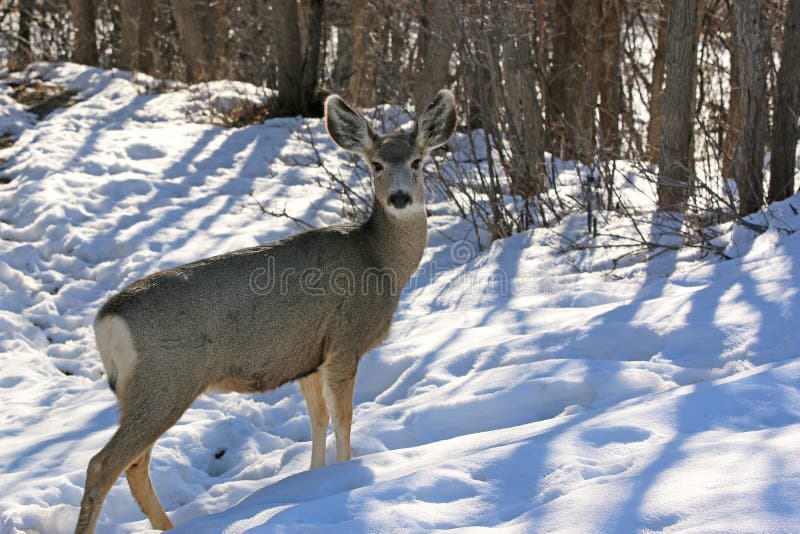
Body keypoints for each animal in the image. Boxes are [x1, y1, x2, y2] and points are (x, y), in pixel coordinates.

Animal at [74, 89, 457, 533]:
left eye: (417, 161)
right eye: (376, 164)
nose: (399, 198)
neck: (380, 262)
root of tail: (106, 319)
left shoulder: (308, 357)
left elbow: (318, 420)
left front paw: (315, 480)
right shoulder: (345, 341)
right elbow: (343, 420)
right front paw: (344, 479)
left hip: (144, 391)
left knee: (135, 464)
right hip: (166, 380)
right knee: (103, 464)